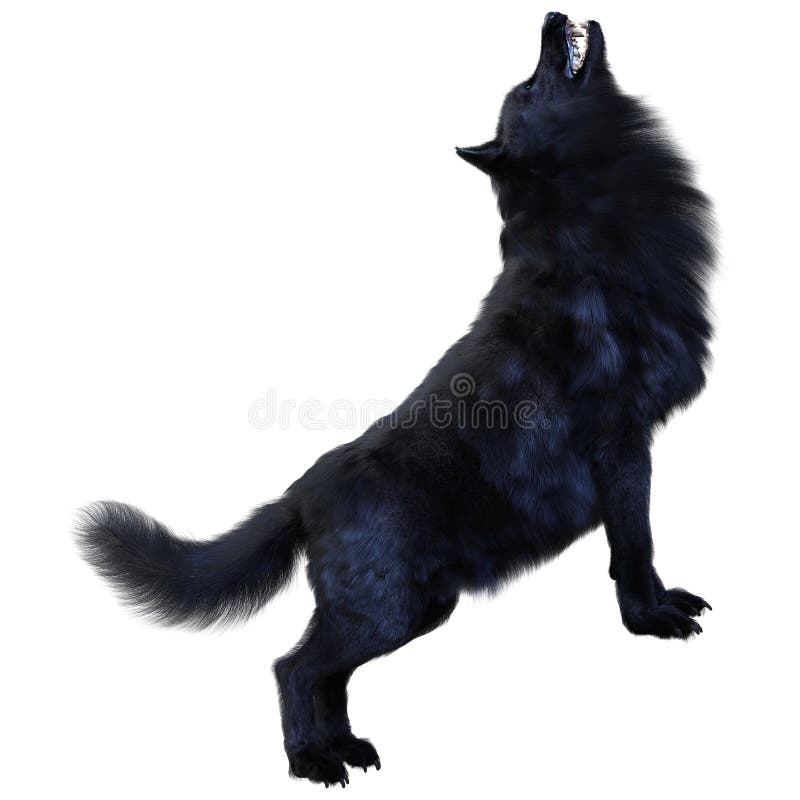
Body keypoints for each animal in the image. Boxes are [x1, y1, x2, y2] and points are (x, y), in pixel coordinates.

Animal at [77, 11, 715, 787]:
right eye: (531, 86)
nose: (550, 18)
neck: (585, 214)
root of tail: (297, 494)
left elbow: (637, 544)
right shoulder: (623, 443)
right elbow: (636, 543)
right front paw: (651, 619)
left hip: (410, 611)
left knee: (325, 675)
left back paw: (345, 747)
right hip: (388, 612)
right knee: (292, 668)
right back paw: (310, 761)